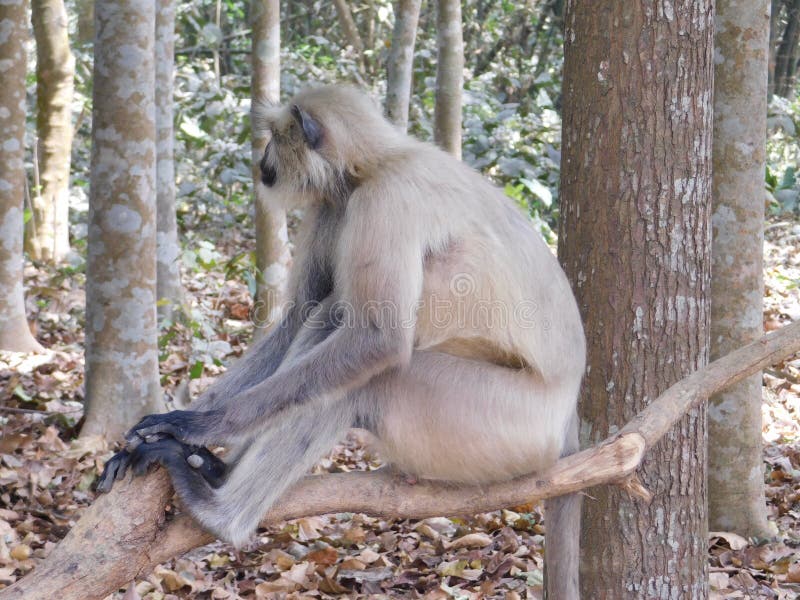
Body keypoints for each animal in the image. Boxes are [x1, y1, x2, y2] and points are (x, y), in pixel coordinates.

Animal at [97, 85, 586, 596]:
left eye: (276, 138)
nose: (262, 160)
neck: (375, 164)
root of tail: (567, 415)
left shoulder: (383, 200)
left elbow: (378, 340)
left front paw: (199, 425)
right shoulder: (335, 204)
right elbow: (298, 316)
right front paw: (165, 429)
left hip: (502, 423)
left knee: (368, 373)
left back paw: (220, 513)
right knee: (329, 313)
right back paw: (216, 473)